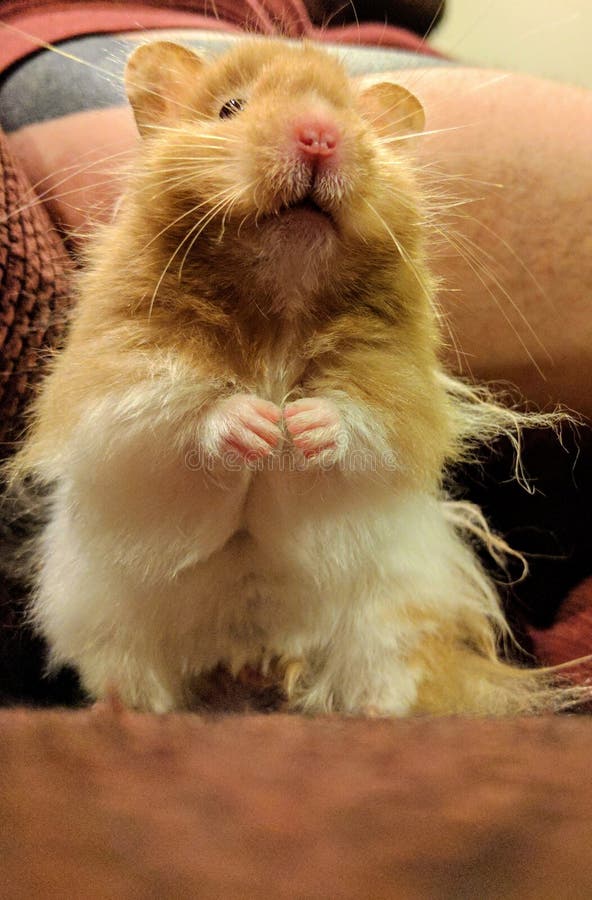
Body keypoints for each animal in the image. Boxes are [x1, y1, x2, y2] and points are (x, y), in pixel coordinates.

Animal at [7, 38, 582, 715]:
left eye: (354, 118)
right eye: (230, 107)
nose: (320, 136)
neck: (281, 295)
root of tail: (250, 664)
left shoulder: (387, 425)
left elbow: (348, 431)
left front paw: (300, 425)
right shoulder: (126, 406)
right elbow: (188, 422)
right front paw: (259, 423)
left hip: (387, 629)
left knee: (383, 685)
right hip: (109, 628)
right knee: (137, 684)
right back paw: (125, 713)